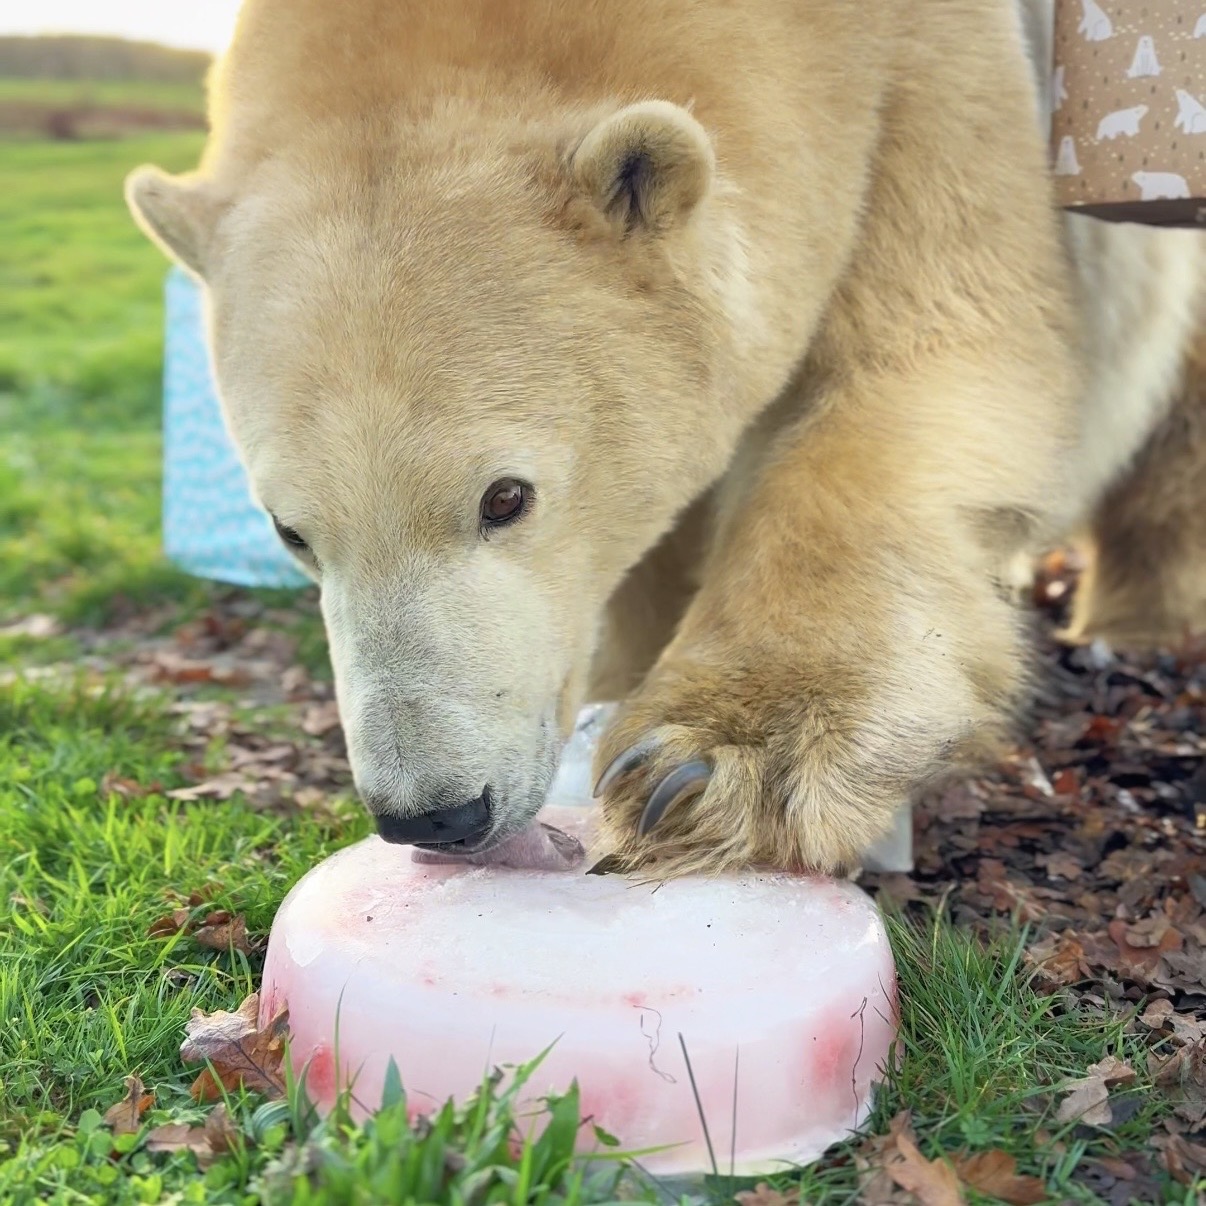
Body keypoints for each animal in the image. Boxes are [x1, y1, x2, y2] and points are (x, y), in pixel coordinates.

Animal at [126, 0, 1206, 878]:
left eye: (504, 497)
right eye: (292, 533)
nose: (434, 814)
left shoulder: (933, 77)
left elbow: (922, 357)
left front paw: (706, 762)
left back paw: (1138, 622)